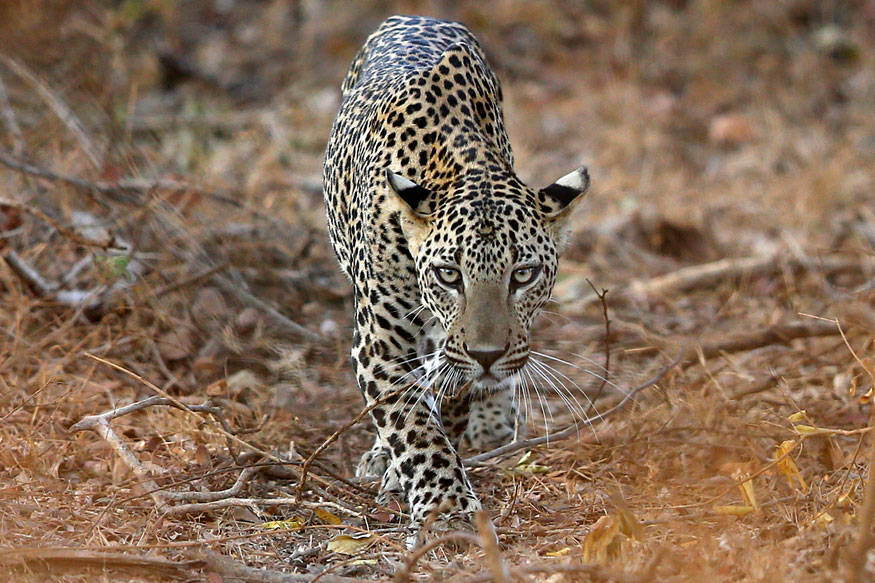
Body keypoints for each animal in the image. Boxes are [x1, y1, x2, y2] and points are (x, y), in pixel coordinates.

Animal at [322, 15, 589, 546]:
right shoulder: (380, 343)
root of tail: (417, 16)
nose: (487, 355)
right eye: (449, 275)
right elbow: (414, 428)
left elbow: (449, 395)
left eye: (523, 275)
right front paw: (444, 507)